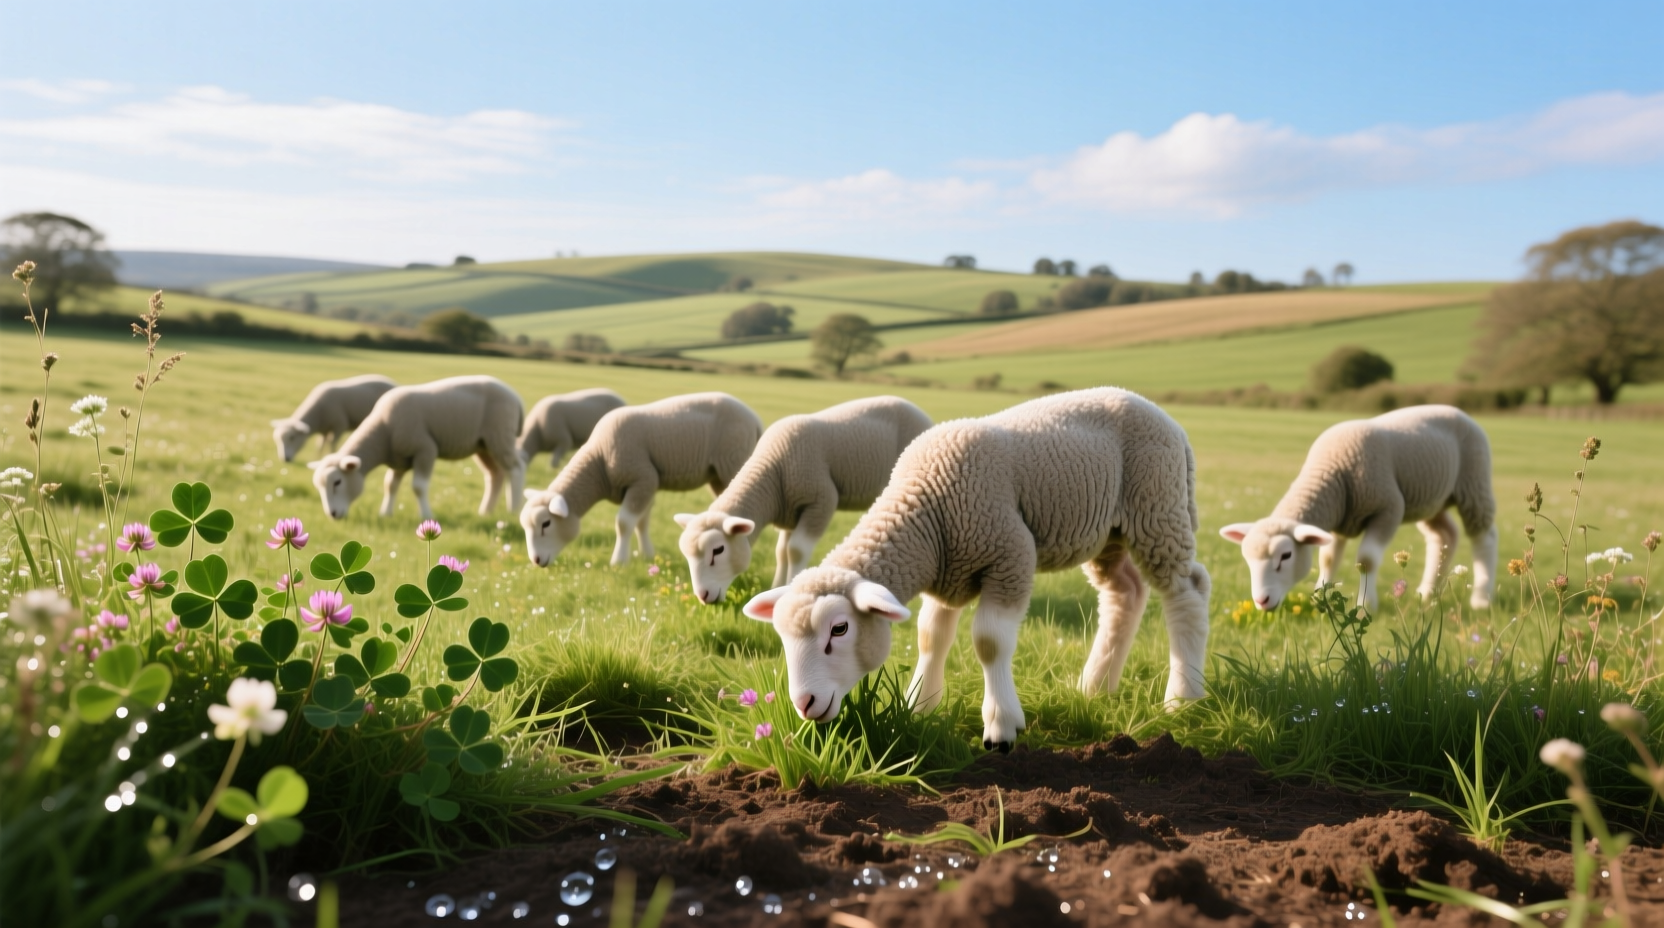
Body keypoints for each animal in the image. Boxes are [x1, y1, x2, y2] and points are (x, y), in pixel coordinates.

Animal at [309, 375, 525, 522]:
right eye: (318, 486)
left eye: (337, 482)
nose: (332, 514)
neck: (383, 430)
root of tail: (515, 396)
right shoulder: (398, 460)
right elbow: (390, 485)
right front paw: (385, 513)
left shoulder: (425, 450)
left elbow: (419, 487)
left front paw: (427, 516)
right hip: (483, 445)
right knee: (495, 474)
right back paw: (485, 512)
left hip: (500, 436)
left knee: (515, 469)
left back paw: (513, 510)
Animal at [521, 392, 763, 567]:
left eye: (546, 523)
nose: (536, 561)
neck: (598, 460)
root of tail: (755, 420)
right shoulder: (646, 486)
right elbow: (642, 522)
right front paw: (646, 555)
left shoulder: (642, 479)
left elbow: (624, 523)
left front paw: (619, 561)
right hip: (719, 476)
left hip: (733, 462)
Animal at [674, 396, 932, 604]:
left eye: (718, 550)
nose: (703, 596)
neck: (772, 469)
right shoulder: (789, 510)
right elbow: (781, 552)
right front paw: (776, 587)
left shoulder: (821, 501)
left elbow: (795, 551)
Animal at [742, 387, 1211, 751]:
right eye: (782, 636)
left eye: (839, 629)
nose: (804, 703)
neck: (924, 508)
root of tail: (1168, 421)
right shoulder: (948, 572)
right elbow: (931, 636)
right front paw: (920, 708)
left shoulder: (1010, 555)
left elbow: (989, 642)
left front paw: (1002, 726)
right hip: (1110, 533)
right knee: (1125, 593)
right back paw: (1095, 687)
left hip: (1157, 505)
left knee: (1187, 590)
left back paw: (1183, 697)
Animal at [1219, 404, 1497, 613]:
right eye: (1247, 559)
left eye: (1285, 556)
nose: (1261, 601)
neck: (1330, 470)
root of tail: (1457, 410)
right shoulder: (1339, 519)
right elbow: (1328, 558)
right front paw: (1320, 597)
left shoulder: (1389, 508)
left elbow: (1366, 560)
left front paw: (1365, 605)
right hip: (1432, 500)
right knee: (1444, 536)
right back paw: (1428, 593)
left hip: (1474, 482)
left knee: (1484, 537)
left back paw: (1481, 599)